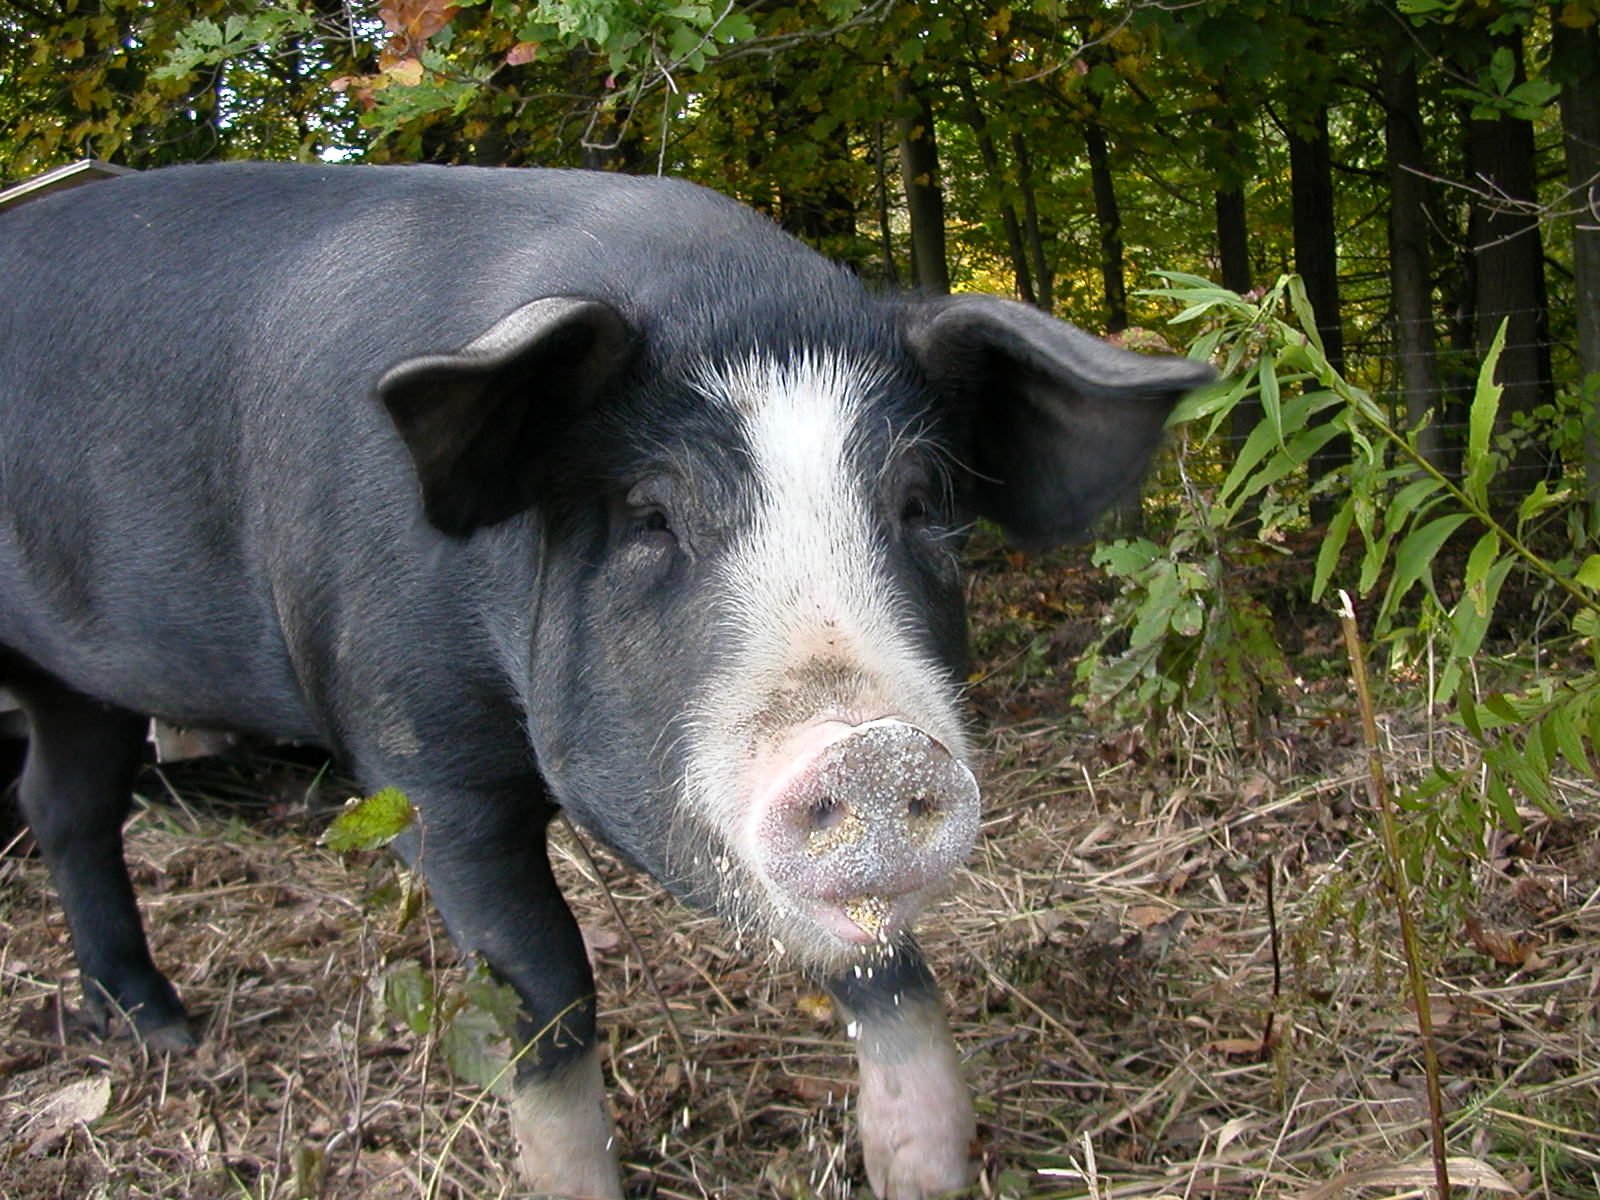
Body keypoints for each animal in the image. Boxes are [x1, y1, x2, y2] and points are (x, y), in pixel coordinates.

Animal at [0, 163, 1212, 1198]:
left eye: (916, 502)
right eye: (648, 516)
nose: (872, 748)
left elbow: (887, 967)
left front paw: (925, 1173)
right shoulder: (420, 761)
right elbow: (546, 999)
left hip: (81, 684)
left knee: (64, 807)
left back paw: (158, 1029)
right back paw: (164, 1031)